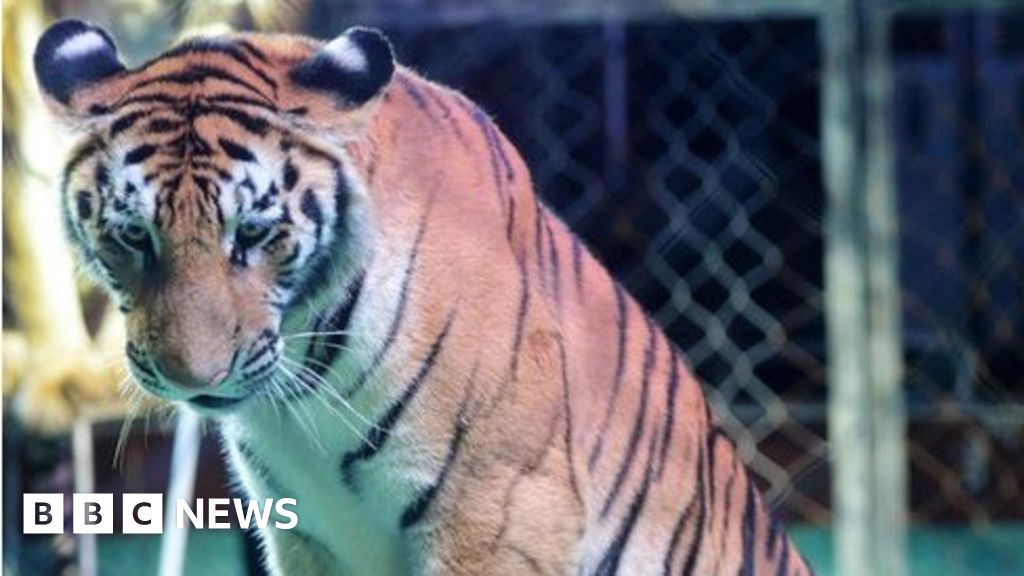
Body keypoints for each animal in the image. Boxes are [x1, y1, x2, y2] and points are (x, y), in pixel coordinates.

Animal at [34, 19, 814, 576]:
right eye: (132, 236)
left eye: (252, 233)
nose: (193, 377)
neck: (306, 382)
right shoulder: (309, 533)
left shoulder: (504, 510)